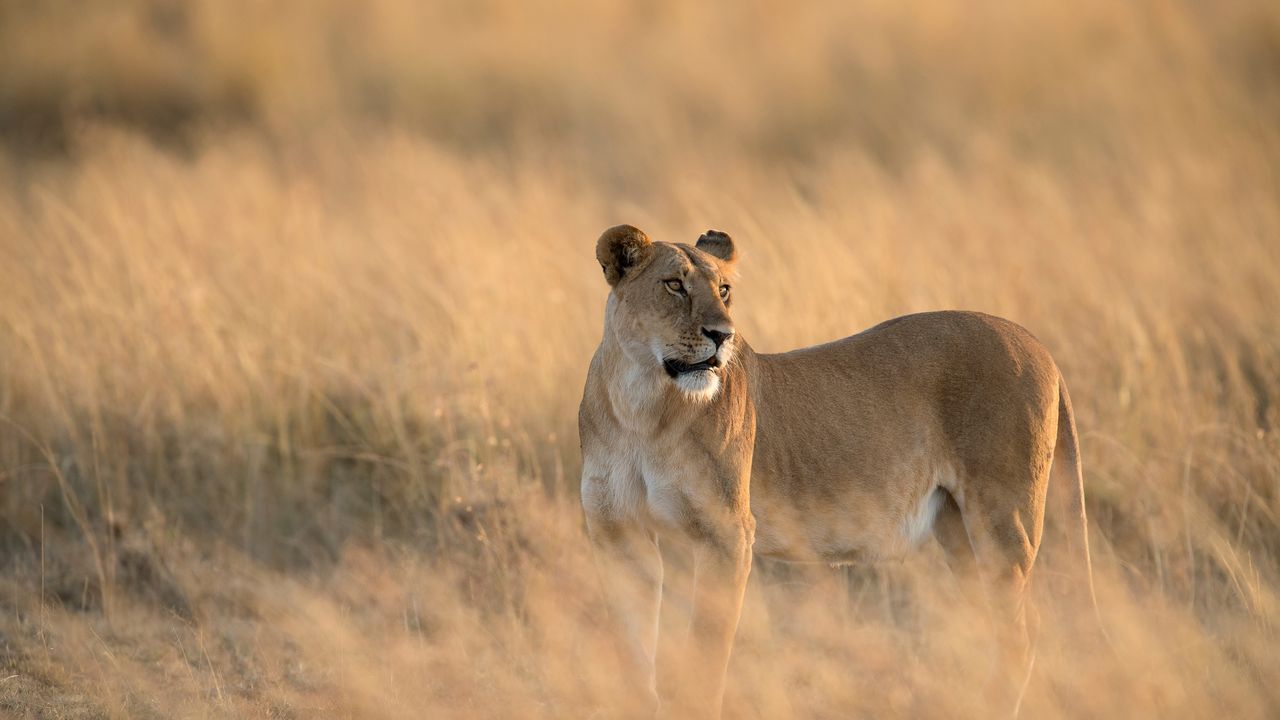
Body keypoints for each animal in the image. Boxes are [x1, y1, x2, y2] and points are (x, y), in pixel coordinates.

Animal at [578, 225, 1099, 717]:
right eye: (674, 285)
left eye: (724, 290)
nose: (723, 335)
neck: (641, 404)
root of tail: (1038, 344)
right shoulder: (617, 532)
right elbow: (634, 642)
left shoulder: (726, 532)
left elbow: (708, 650)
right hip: (958, 530)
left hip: (1002, 520)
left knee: (1024, 628)